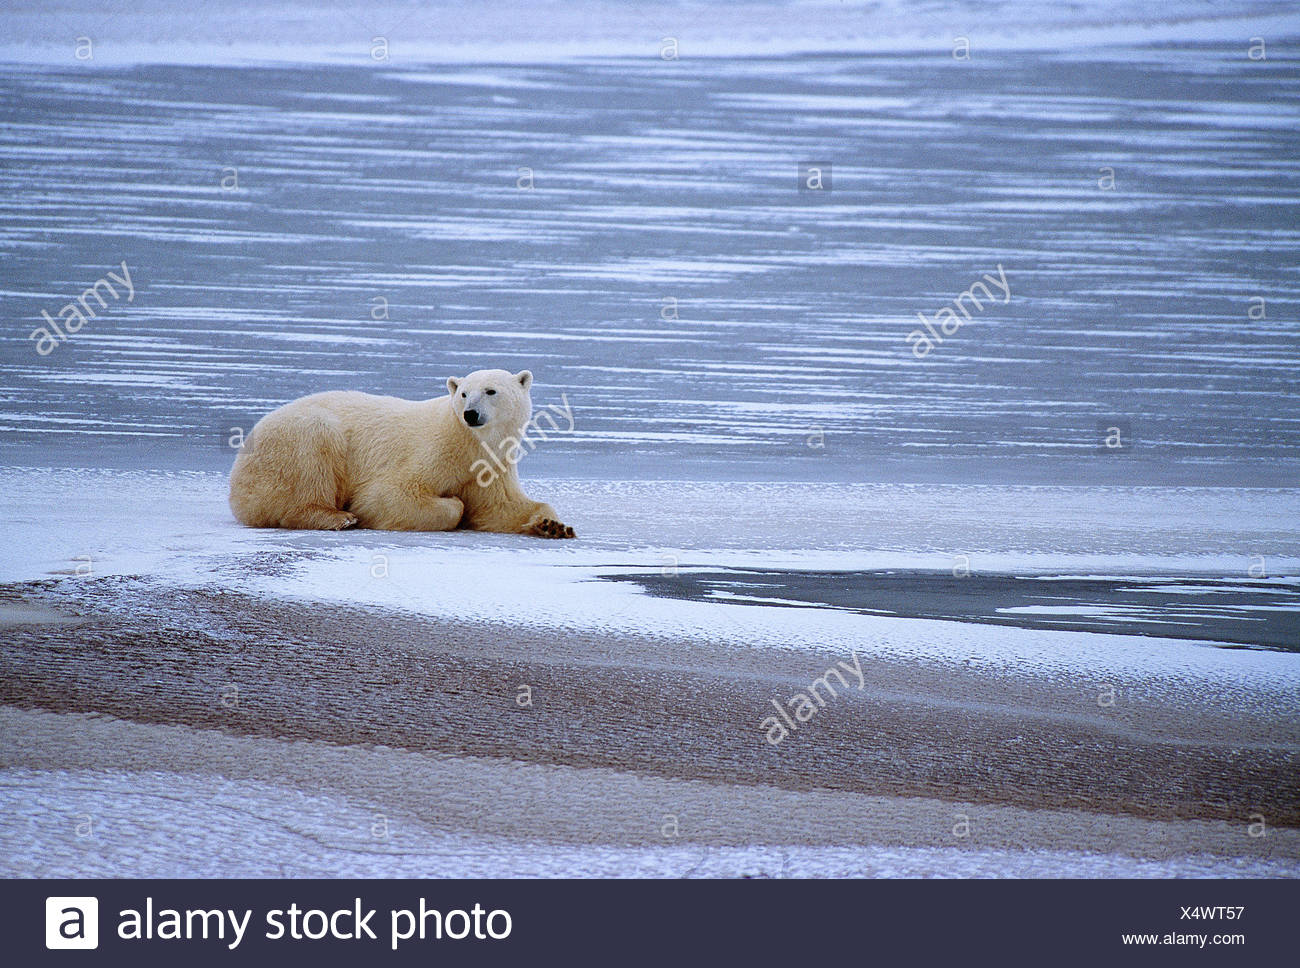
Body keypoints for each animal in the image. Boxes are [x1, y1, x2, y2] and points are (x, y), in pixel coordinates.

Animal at [228, 368, 575, 538]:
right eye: (464, 393)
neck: (467, 439)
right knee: (311, 459)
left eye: (491, 391)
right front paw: (453, 502)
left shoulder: (490, 463)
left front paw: (552, 525)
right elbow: (389, 495)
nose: (471, 414)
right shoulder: (433, 450)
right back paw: (337, 517)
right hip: (294, 442)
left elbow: (499, 507)